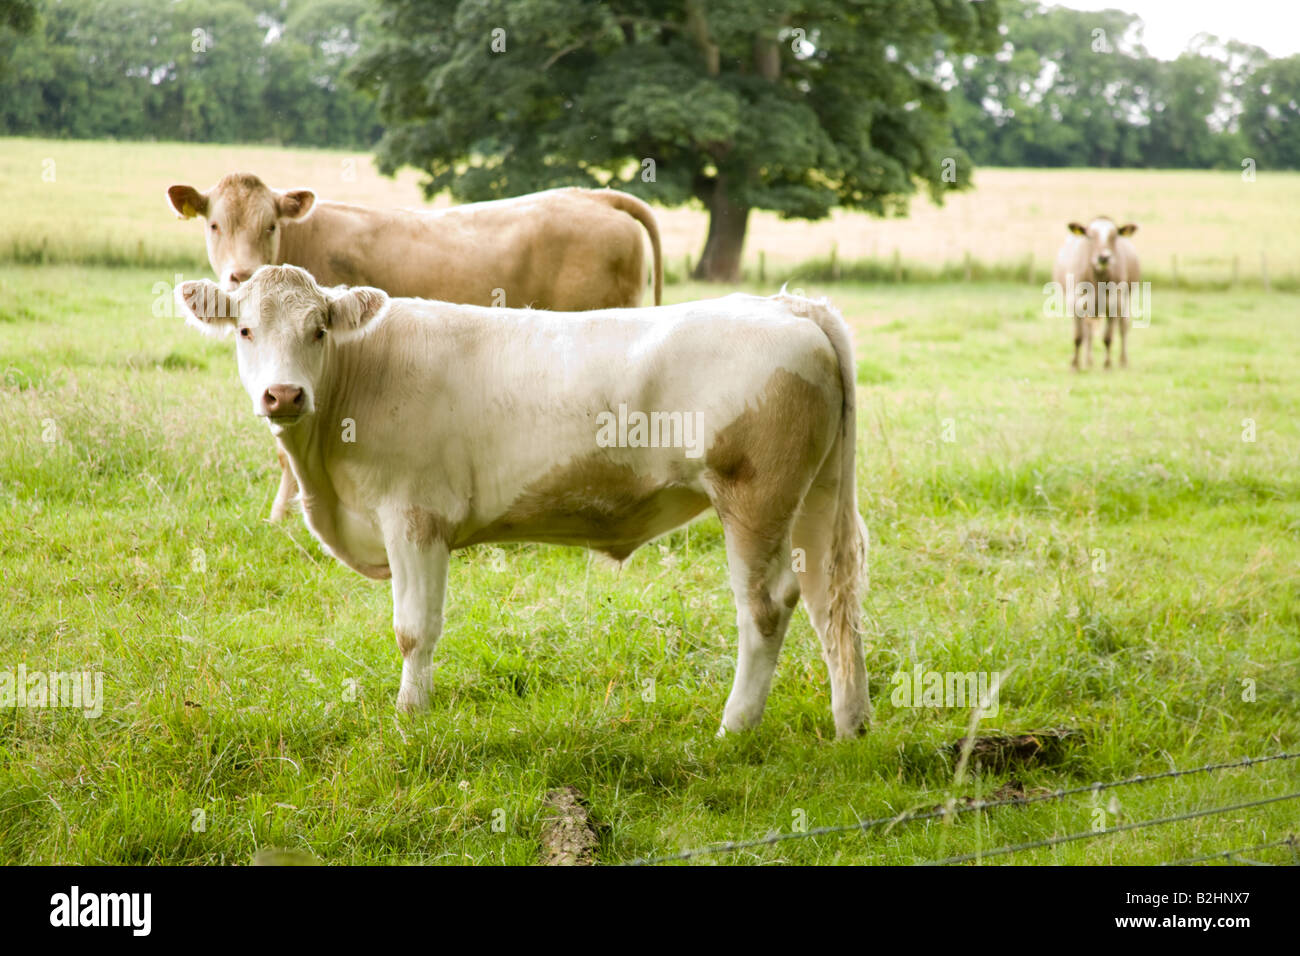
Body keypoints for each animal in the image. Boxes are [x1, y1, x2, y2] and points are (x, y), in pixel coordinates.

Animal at [174, 265, 870, 739]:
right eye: (244, 329)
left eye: (318, 330)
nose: (284, 395)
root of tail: (786, 305)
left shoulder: (414, 516)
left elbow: (414, 628)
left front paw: (410, 715)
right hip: (816, 495)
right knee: (830, 596)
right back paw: (851, 724)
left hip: (754, 495)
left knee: (767, 604)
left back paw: (734, 727)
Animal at [1052, 217, 1140, 370]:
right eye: (1090, 236)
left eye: (1114, 236)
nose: (1104, 257)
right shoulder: (1076, 303)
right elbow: (1078, 336)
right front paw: (1075, 365)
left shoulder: (1114, 303)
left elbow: (1108, 337)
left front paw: (1107, 365)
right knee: (1089, 331)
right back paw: (1088, 361)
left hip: (1127, 297)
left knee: (1123, 327)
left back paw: (1123, 361)